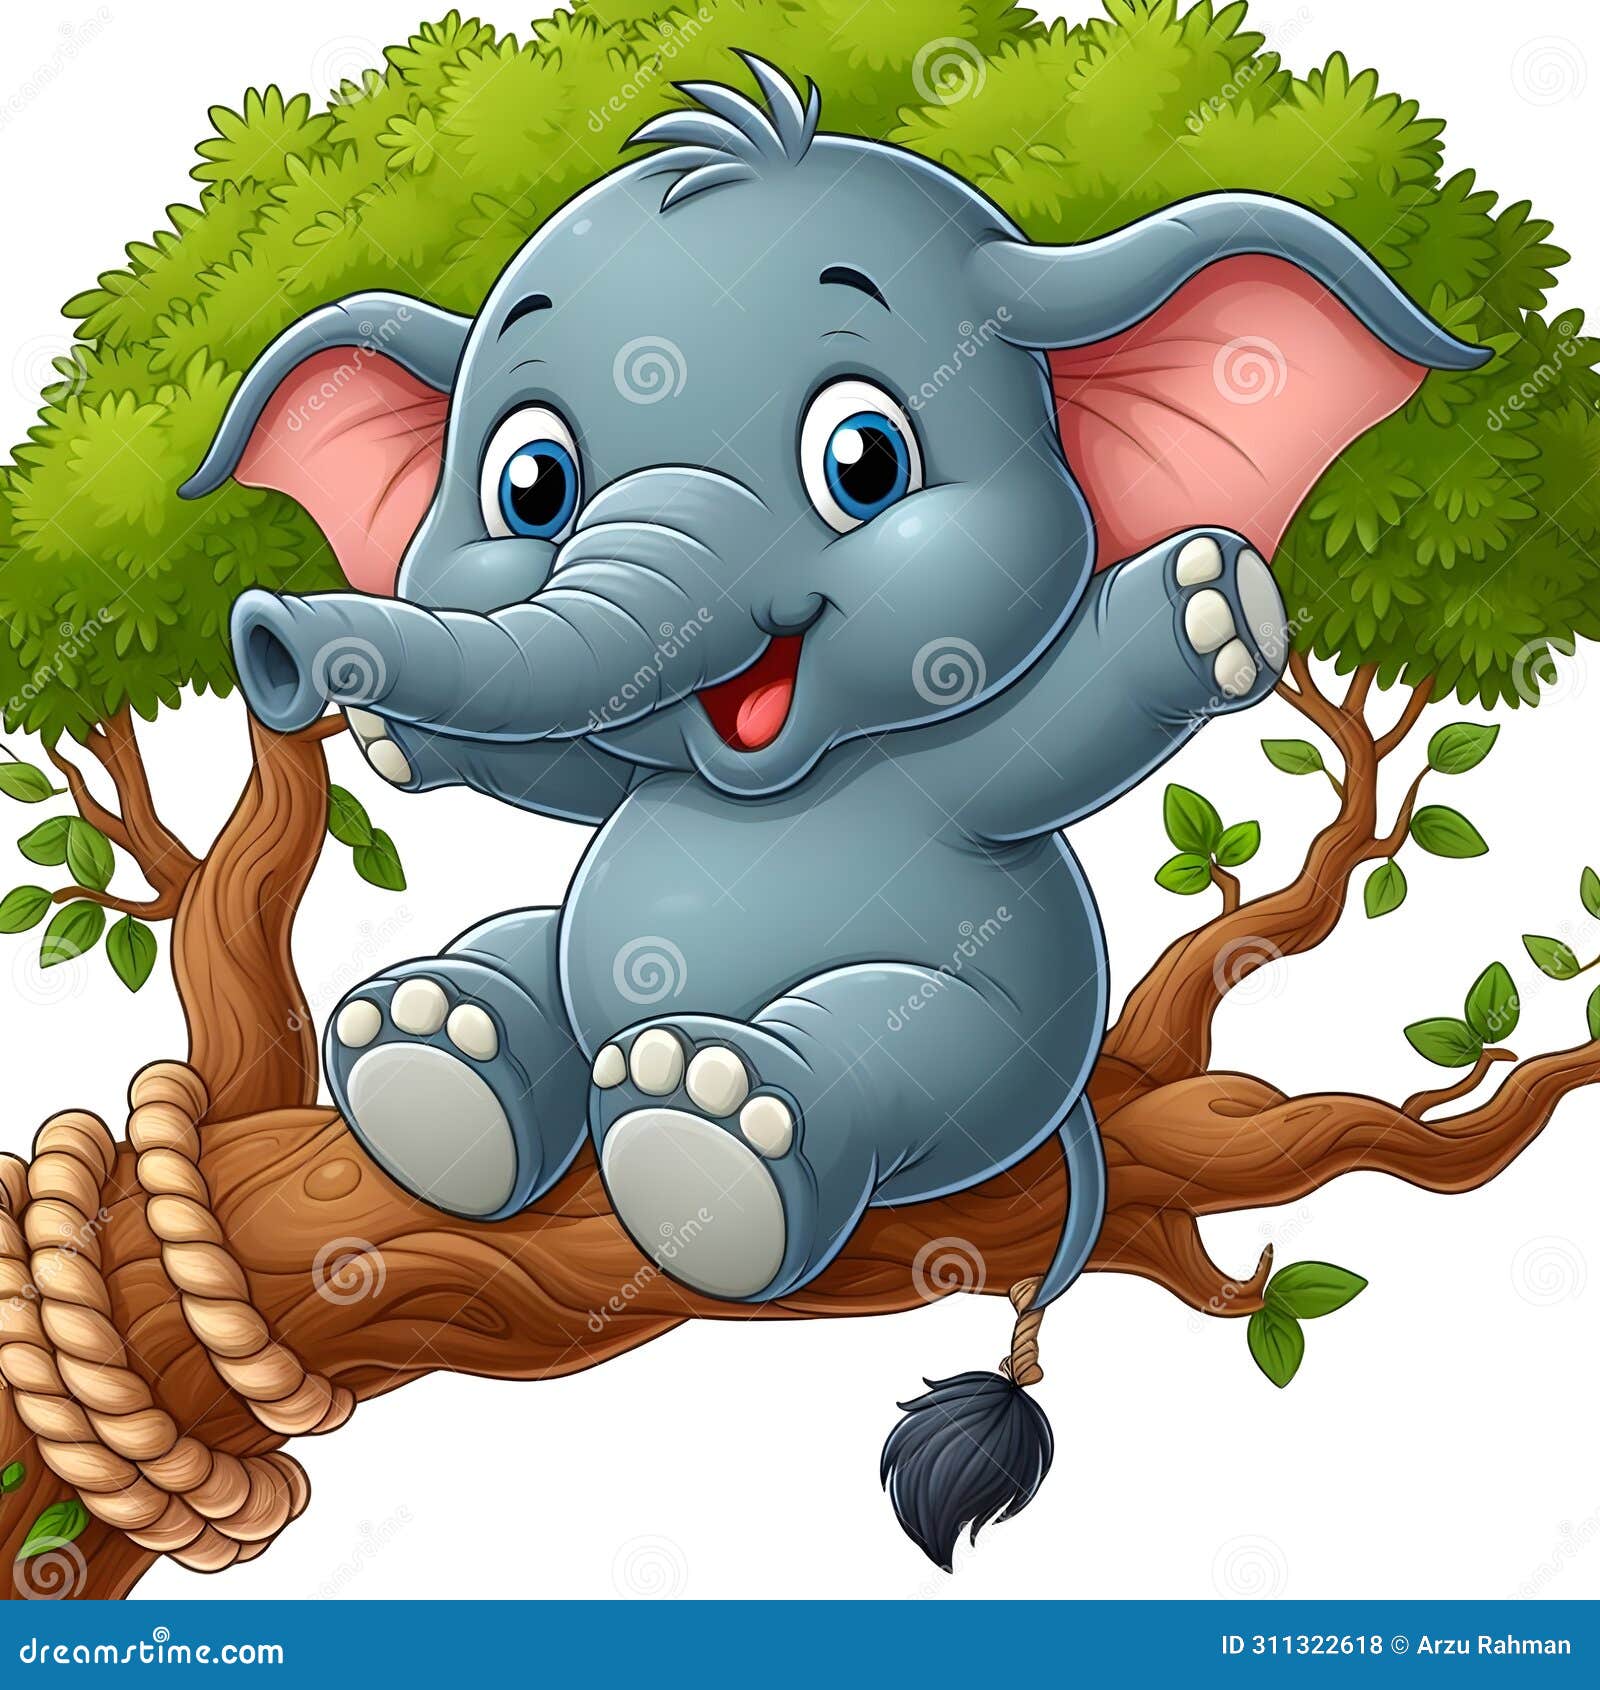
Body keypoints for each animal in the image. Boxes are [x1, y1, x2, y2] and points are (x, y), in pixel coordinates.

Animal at [184, 54, 1485, 1566]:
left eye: (863, 460)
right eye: (529, 487)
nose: (269, 640)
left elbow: (1042, 738)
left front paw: (1209, 596)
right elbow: (572, 773)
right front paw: (396, 734)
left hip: (996, 1062)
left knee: (878, 1042)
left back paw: (699, 1122)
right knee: (526, 961)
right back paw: (427, 1050)